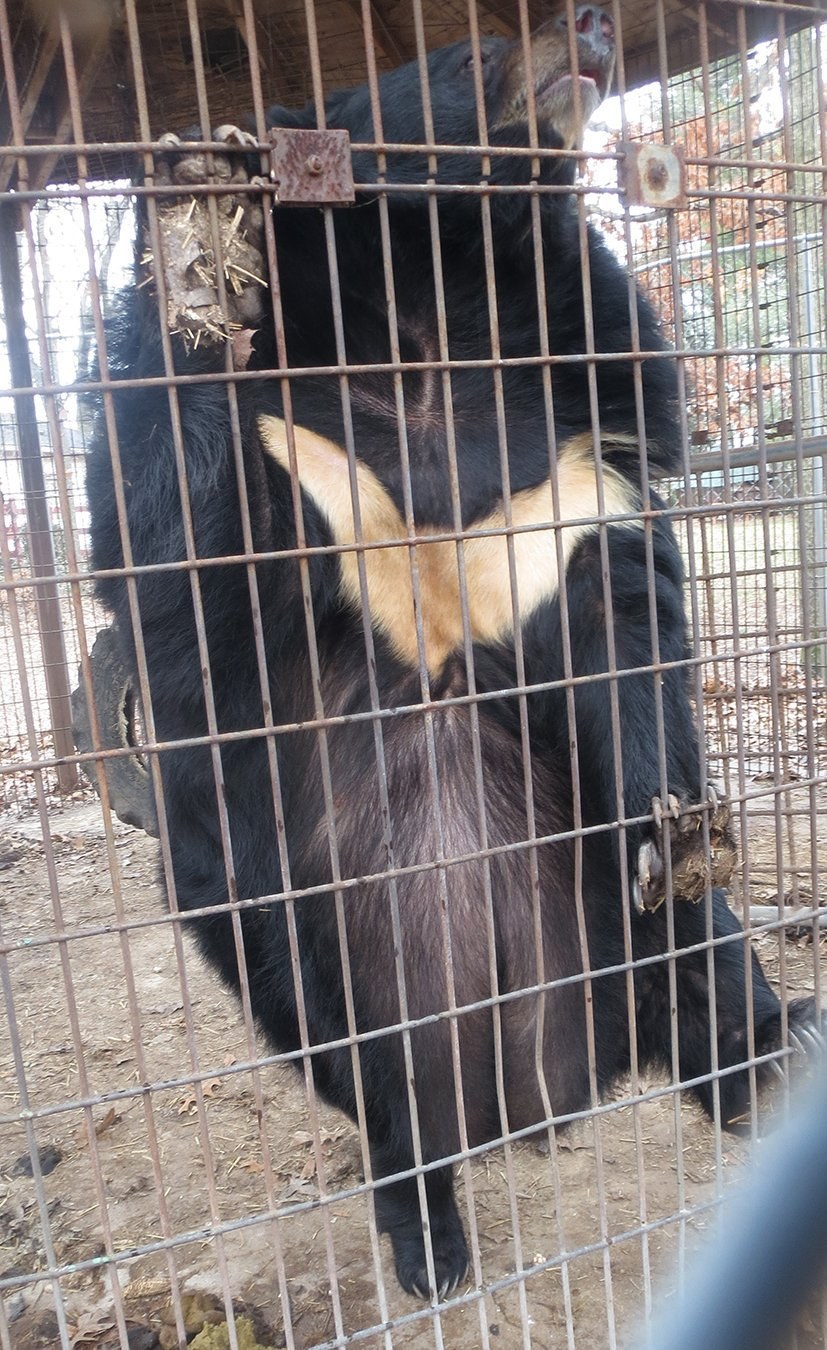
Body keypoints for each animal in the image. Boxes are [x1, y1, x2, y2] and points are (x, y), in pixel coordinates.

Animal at [85, 3, 820, 1301]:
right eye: (472, 57)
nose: (589, 26)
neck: (437, 287)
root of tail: (527, 1095)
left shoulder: (577, 446)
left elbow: (626, 641)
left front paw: (669, 822)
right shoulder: (284, 458)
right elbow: (168, 520)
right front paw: (197, 242)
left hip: (630, 932)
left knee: (702, 954)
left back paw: (772, 1059)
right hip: (288, 943)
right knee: (359, 1070)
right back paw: (427, 1234)